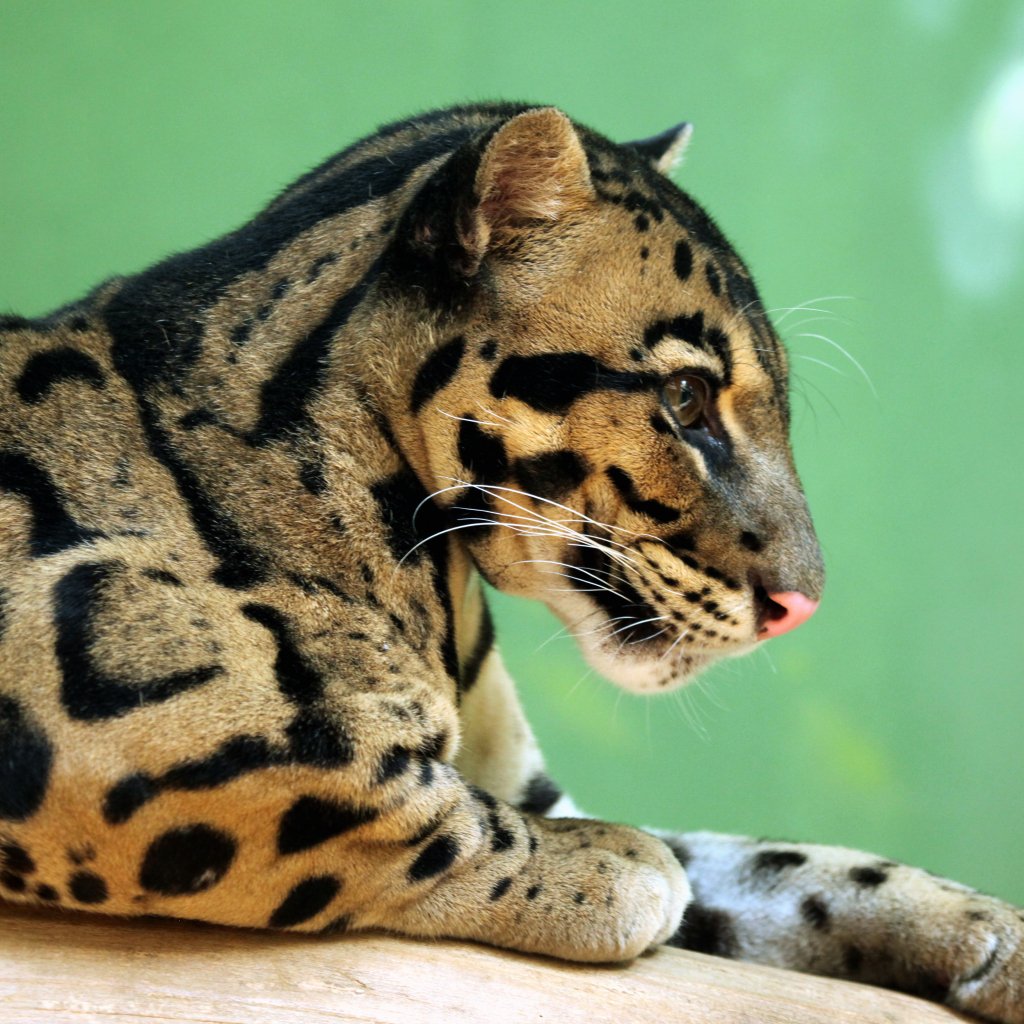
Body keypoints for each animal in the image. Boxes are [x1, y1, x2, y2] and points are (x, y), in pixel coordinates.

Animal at [1, 102, 1021, 1021]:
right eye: (687, 397)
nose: (801, 603)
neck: (438, 584)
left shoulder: (529, 777)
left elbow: (778, 861)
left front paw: (994, 929)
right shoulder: (110, 694)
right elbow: (407, 798)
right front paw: (610, 862)